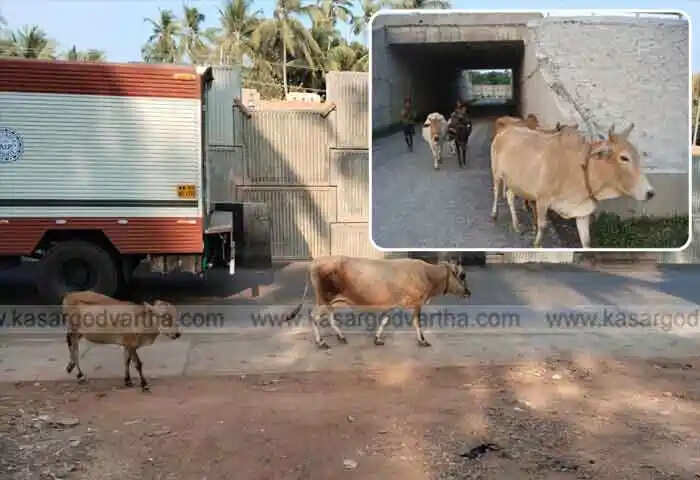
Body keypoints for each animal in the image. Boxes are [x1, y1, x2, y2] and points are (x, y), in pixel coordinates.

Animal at [284, 256, 471, 349]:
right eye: (462, 275)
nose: (469, 293)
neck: (427, 274)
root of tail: (315, 261)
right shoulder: (417, 303)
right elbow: (417, 323)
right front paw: (423, 341)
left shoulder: (393, 304)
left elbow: (385, 320)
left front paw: (377, 339)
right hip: (325, 299)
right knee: (314, 316)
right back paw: (321, 342)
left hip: (329, 300)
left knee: (329, 317)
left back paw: (341, 336)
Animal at [491, 123, 654, 248]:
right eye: (624, 158)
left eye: (638, 156)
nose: (650, 193)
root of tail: (505, 130)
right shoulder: (542, 200)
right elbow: (542, 227)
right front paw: (536, 245)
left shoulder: (582, 213)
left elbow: (586, 242)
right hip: (497, 174)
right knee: (496, 192)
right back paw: (494, 214)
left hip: (515, 182)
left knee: (510, 196)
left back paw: (516, 224)